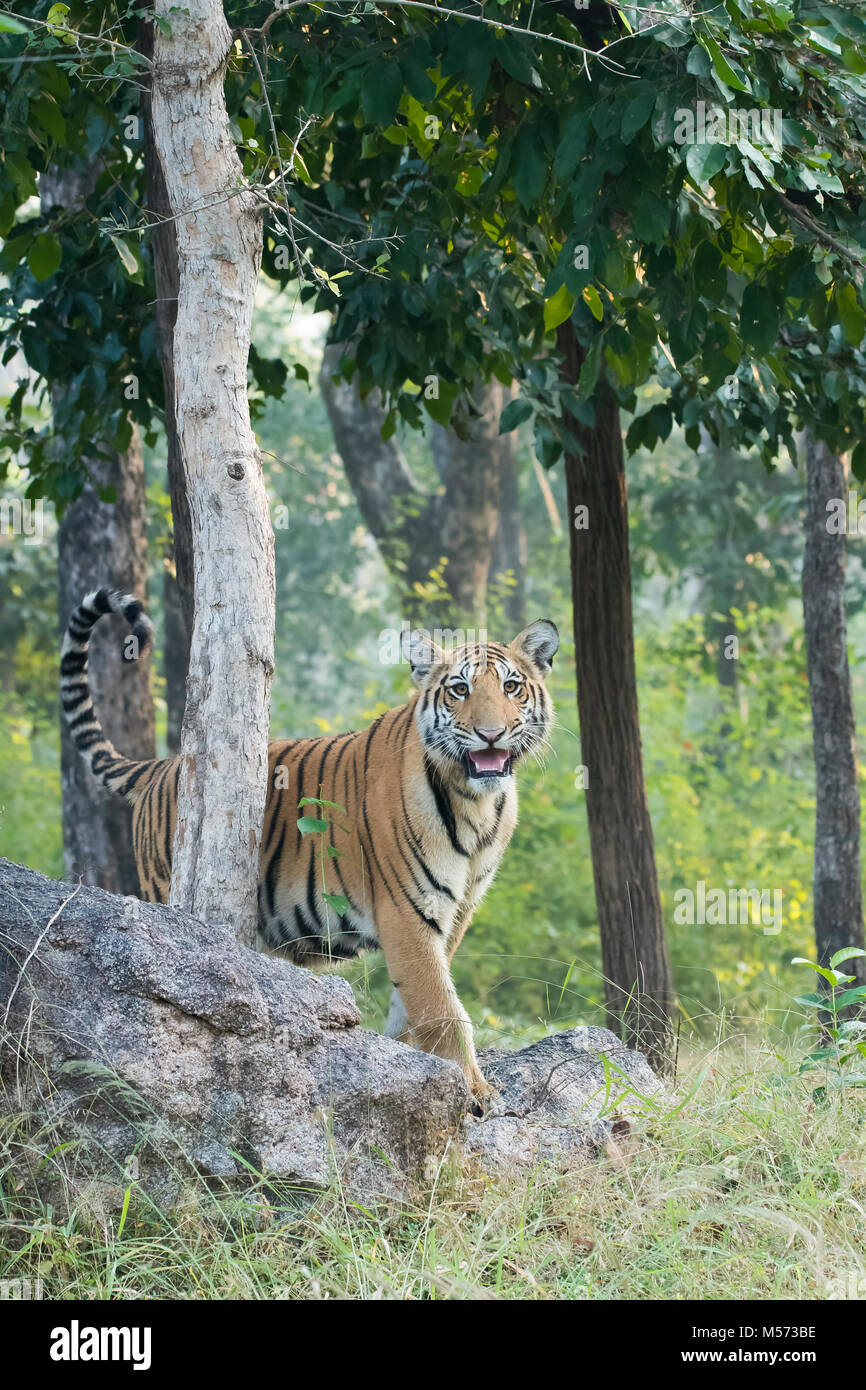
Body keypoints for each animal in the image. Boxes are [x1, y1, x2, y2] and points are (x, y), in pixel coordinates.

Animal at [60, 588, 559, 1095]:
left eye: (511, 687)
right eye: (459, 690)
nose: (490, 734)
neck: (477, 804)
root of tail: (163, 765)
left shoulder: (457, 911)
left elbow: (412, 1006)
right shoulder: (408, 911)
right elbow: (440, 1007)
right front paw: (473, 1095)